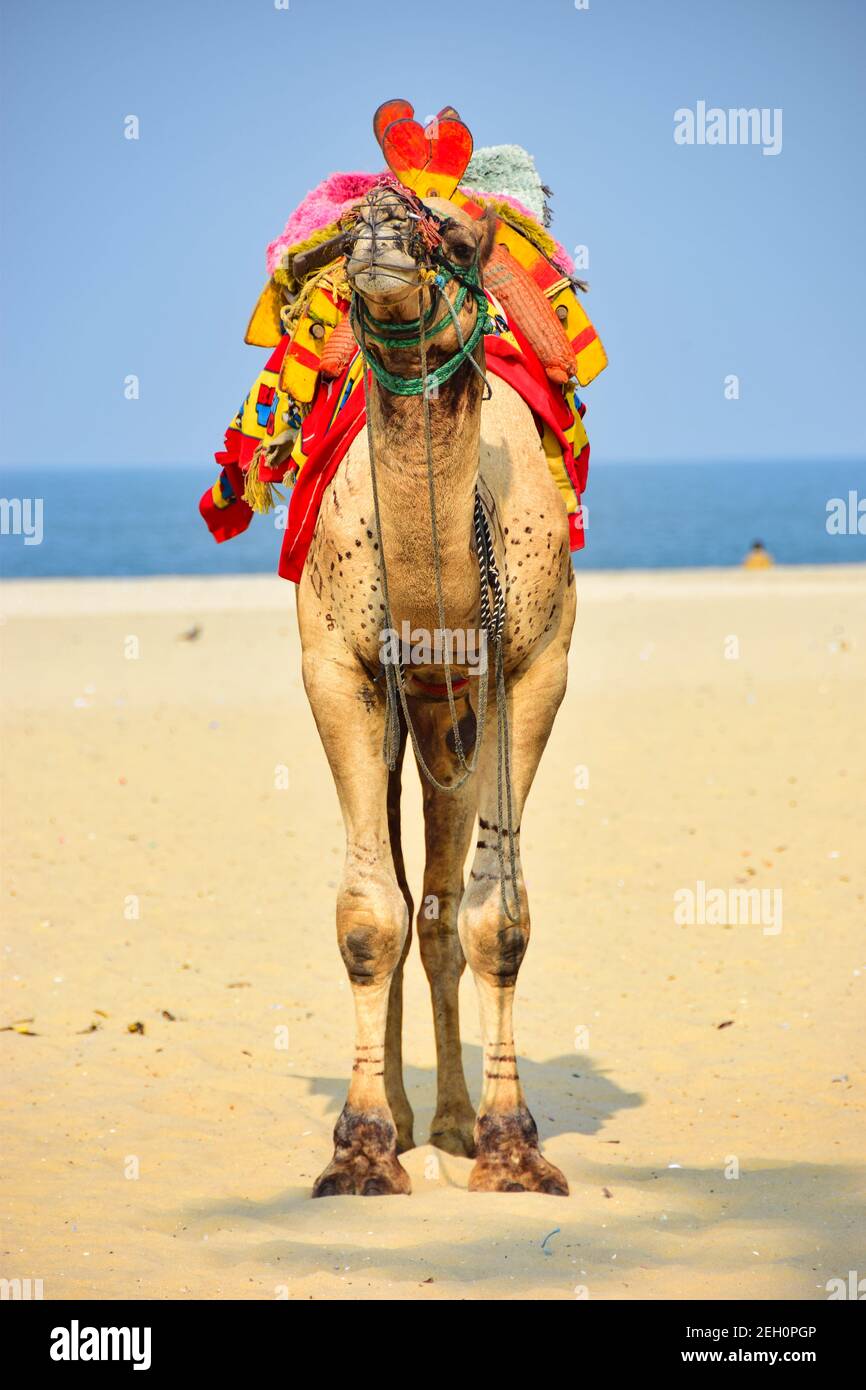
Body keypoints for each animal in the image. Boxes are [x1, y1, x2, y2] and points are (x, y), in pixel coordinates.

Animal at [297, 184, 576, 1196]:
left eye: (450, 237)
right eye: (348, 232)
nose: (382, 222)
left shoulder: (534, 666)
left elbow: (500, 918)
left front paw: (511, 1148)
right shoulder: (335, 665)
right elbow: (363, 916)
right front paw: (361, 1151)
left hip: (450, 716)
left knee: (444, 907)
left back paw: (452, 1124)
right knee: (402, 889)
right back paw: (408, 1117)